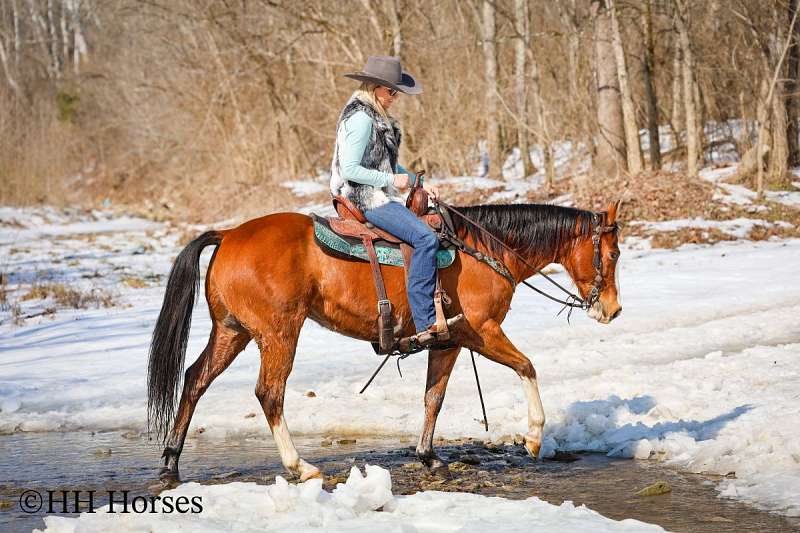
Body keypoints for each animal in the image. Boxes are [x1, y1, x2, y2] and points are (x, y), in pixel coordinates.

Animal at [147, 200, 623, 483]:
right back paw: (300, 465)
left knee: (195, 379)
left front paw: (428, 455)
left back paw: (171, 461)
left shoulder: (448, 342)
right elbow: (527, 366)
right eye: (614, 254)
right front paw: (534, 437)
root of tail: (228, 234)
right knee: (269, 393)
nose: (613, 310)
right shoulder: (482, 330)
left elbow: (433, 398)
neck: (487, 250)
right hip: (278, 333)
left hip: (232, 332)